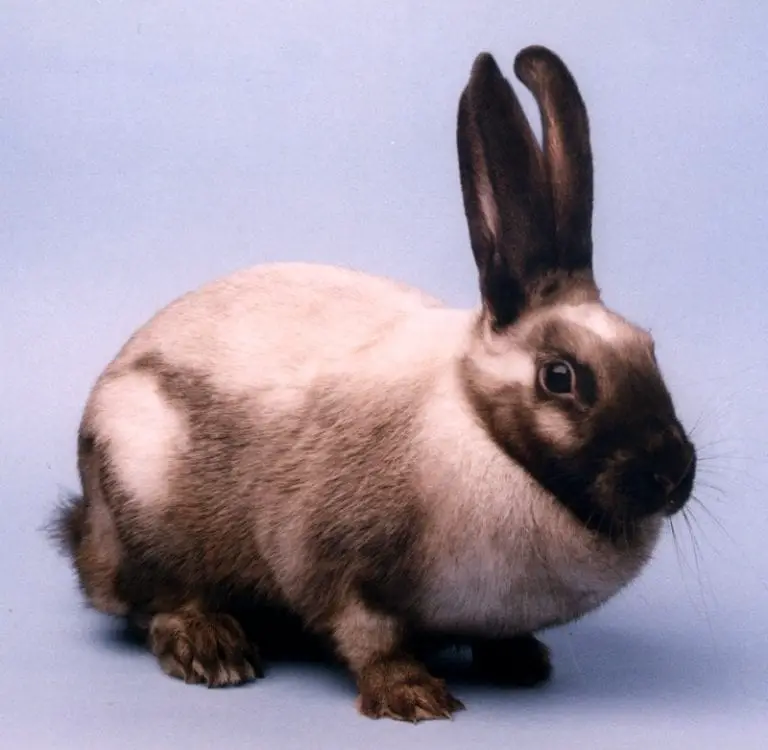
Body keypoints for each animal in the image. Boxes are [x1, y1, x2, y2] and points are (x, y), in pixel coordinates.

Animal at [51, 45, 697, 722]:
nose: (673, 475)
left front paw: (521, 661)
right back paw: (213, 649)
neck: (477, 425)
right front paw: (412, 697)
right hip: (143, 503)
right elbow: (367, 635)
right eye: (559, 376)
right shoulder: (333, 562)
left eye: (650, 349)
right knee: (157, 598)